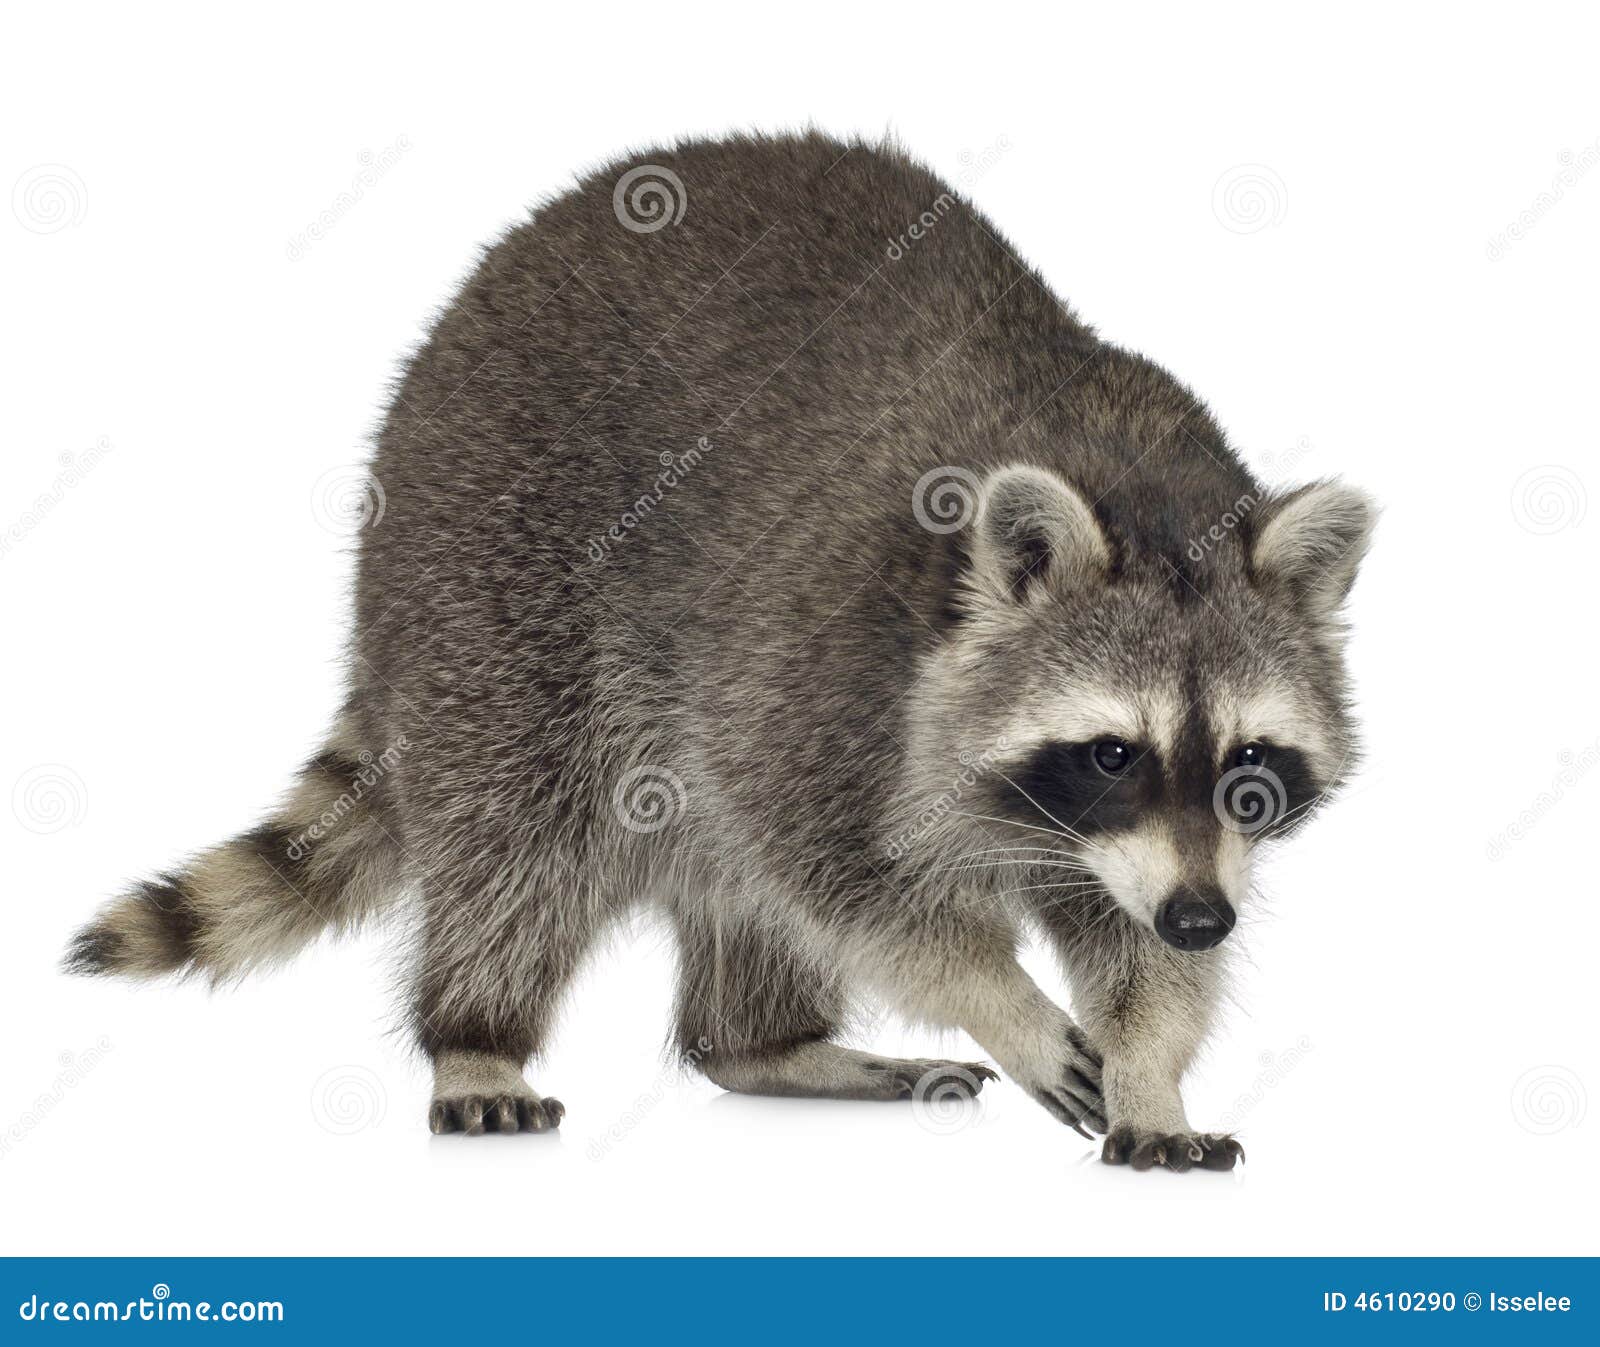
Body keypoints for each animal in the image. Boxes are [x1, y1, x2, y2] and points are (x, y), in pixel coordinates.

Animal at [67, 132, 1373, 1170]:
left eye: (1250, 768)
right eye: (1111, 752)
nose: (1206, 920)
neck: (1140, 488)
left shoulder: (1131, 849)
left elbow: (1126, 938)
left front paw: (1152, 1067)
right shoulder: (815, 645)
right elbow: (838, 871)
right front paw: (994, 995)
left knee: (726, 888)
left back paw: (766, 1044)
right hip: (483, 565)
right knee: (517, 835)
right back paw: (478, 1037)